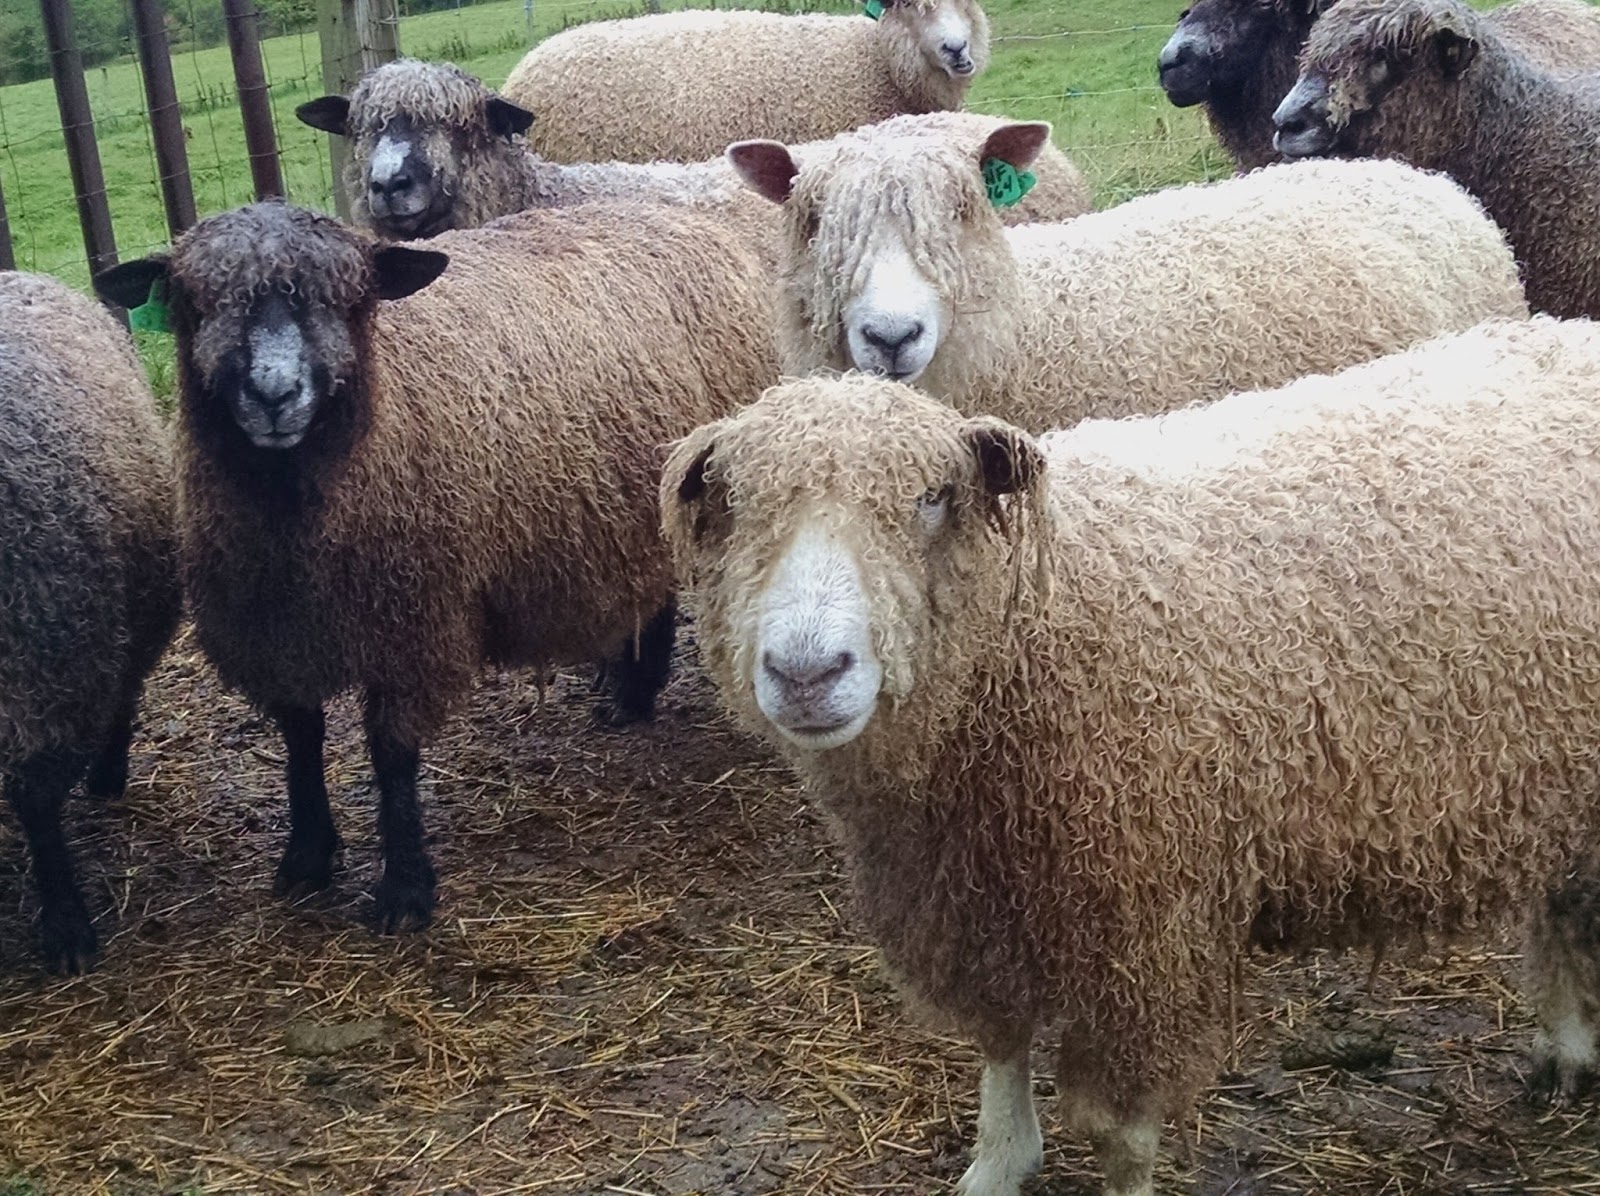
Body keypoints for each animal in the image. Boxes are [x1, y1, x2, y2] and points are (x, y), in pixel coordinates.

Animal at [92, 198, 776, 934]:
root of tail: (679, 212)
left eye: (351, 300)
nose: (274, 395)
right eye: (196, 304)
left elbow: (392, 756)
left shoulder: (411, 621)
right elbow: (301, 739)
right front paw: (306, 857)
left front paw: (404, 891)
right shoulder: (277, 630)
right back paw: (632, 696)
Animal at [658, 317, 1600, 1195]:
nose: (806, 672)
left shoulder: (1145, 925)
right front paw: (1000, 1158)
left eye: (932, 497)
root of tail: (1565, 334)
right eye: (734, 506)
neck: (1036, 624)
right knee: (1562, 908)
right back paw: (1567, 1051)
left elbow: (1119, 1131)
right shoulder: (971, 896)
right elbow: (1002, 1043)